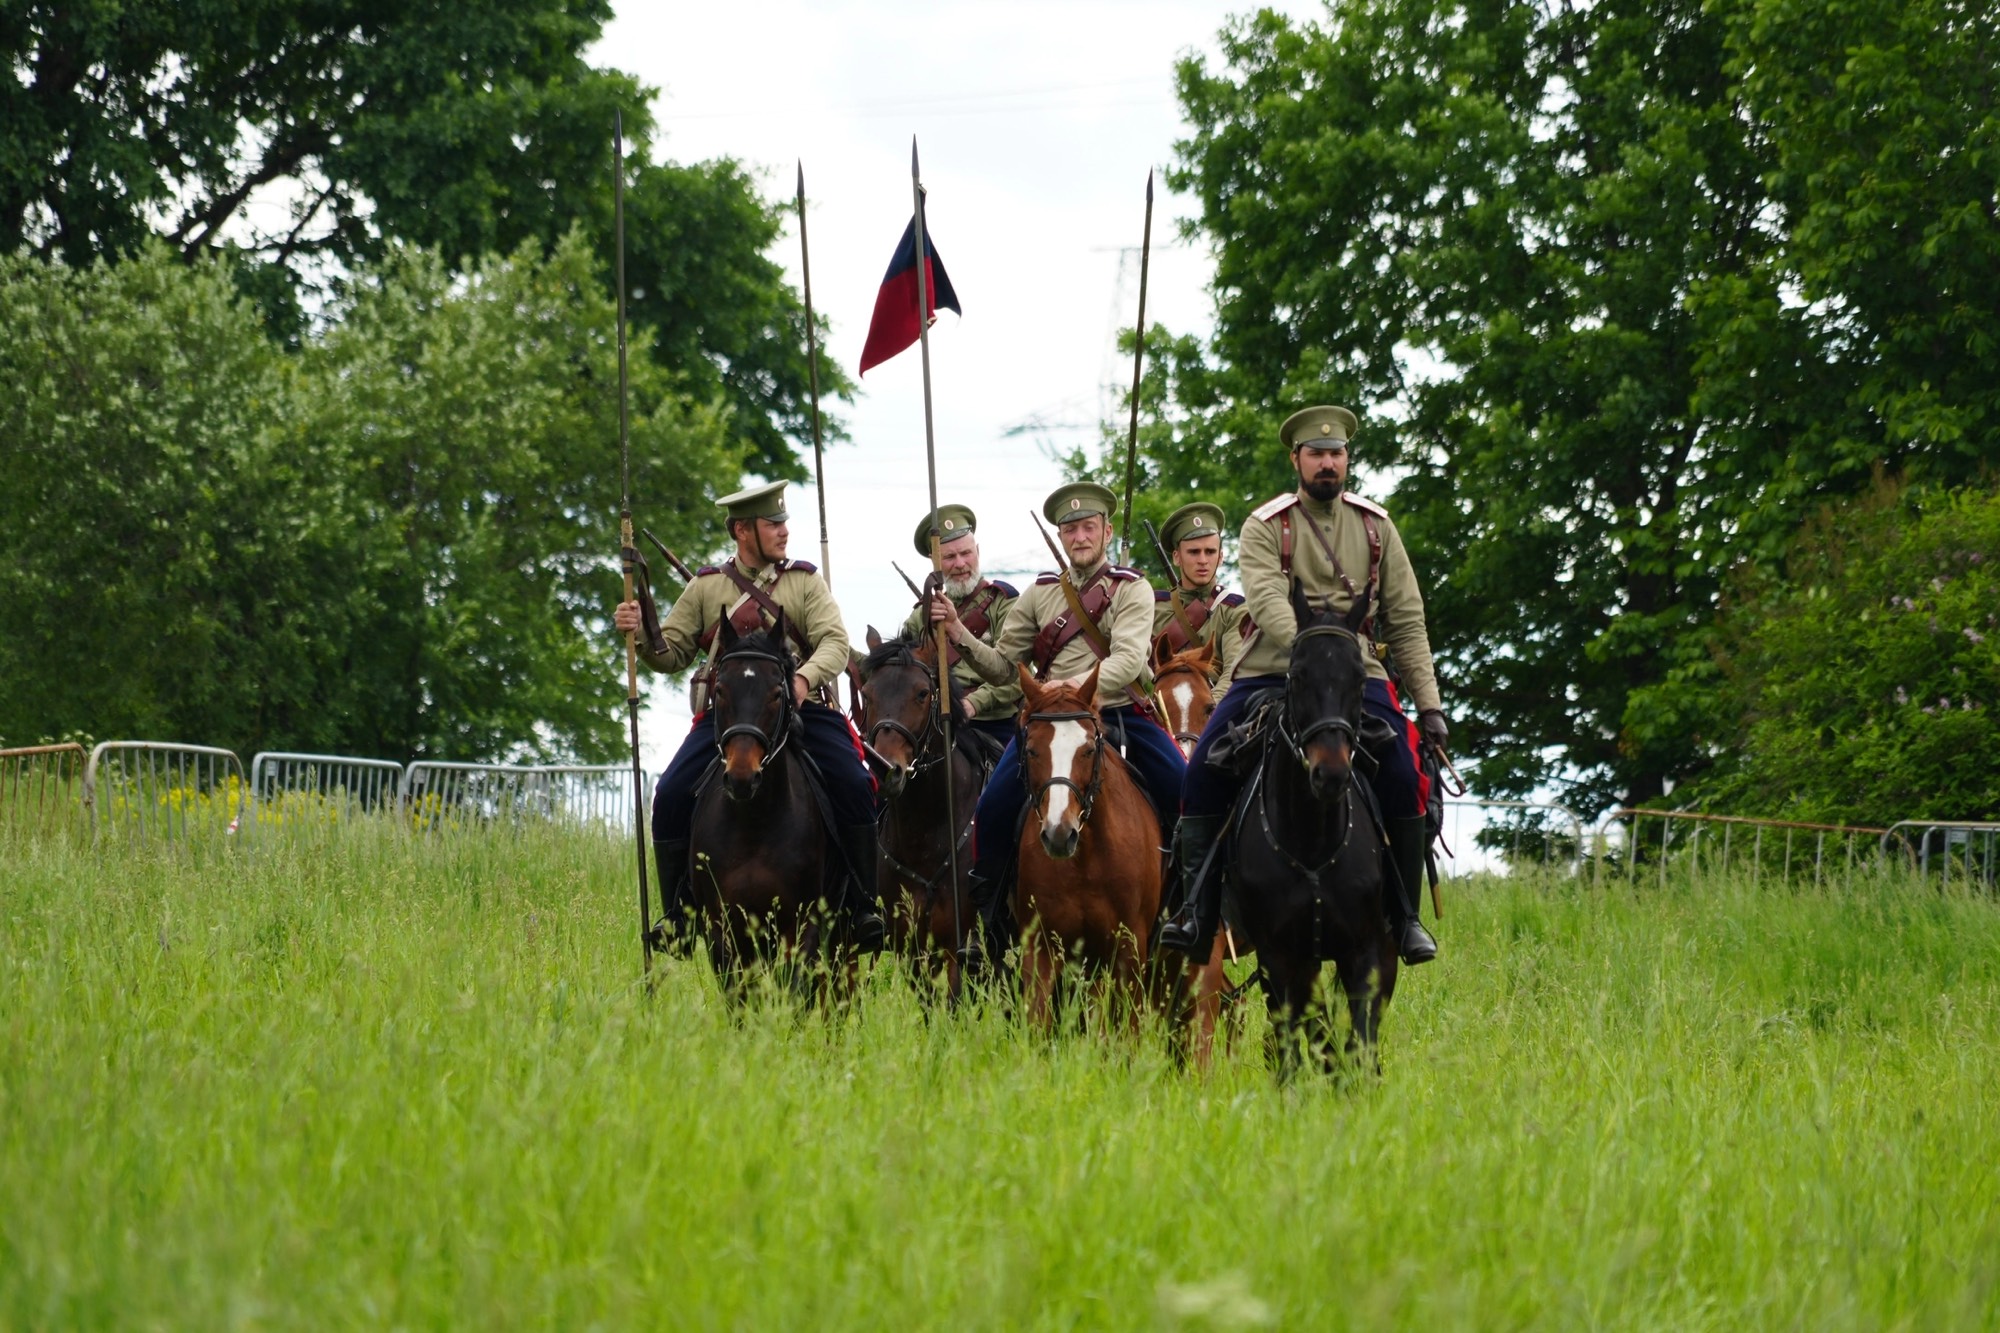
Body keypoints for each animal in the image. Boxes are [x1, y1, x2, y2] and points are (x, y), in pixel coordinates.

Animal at [692, 608, 856, 992]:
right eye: (720, 689)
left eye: (777, 693)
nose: (741, 778)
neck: (755, 824)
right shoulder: (722, 928)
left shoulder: (802, 923)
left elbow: (794, 989)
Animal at [1008, 664, 1224, 1056]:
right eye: (1031, 750)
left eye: (1087, 749)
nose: (1059, 833)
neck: (1086, 860)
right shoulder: (1041, 947)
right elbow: (1039, 1026)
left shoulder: (1129, 950)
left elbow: (1130, 1034)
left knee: (1200, 1027)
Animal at [1224, 580, 1400, 1072]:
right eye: (1298, 674)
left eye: (1359, 678)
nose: (1332, 773)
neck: (1313, 840)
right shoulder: (1279, 957)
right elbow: (1299, 1041)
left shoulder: (1365, 952)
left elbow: (1360, 1040)